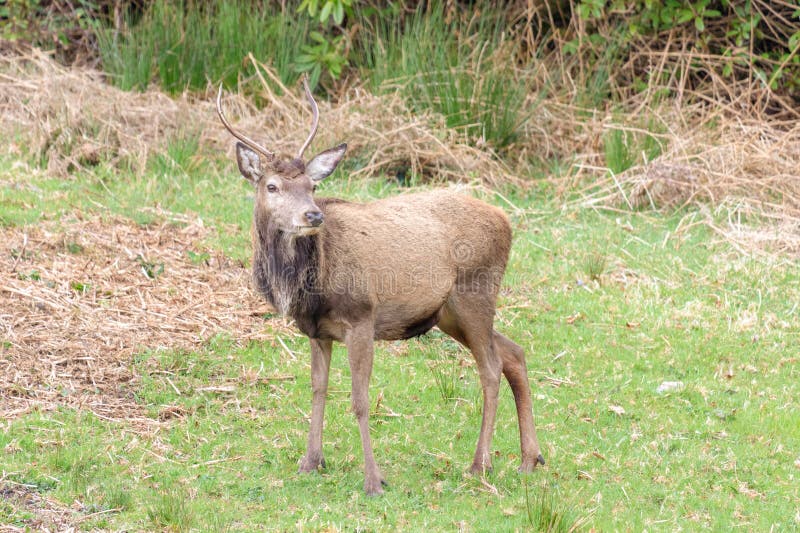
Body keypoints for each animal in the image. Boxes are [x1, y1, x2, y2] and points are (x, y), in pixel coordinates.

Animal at [216, 80, 545, 495]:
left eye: (311, 185)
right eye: (272, 186)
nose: (313, 215)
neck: (309, 282)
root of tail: (506, 220)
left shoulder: (361, 316)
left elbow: (359, 399)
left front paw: (373, 479)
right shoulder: (316, 330)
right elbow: (318, 390)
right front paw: (310, 462)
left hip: (476, 292)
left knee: (490, 367)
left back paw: (479, 464)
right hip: (448, 314)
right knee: (513, 352)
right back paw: (530, 459)